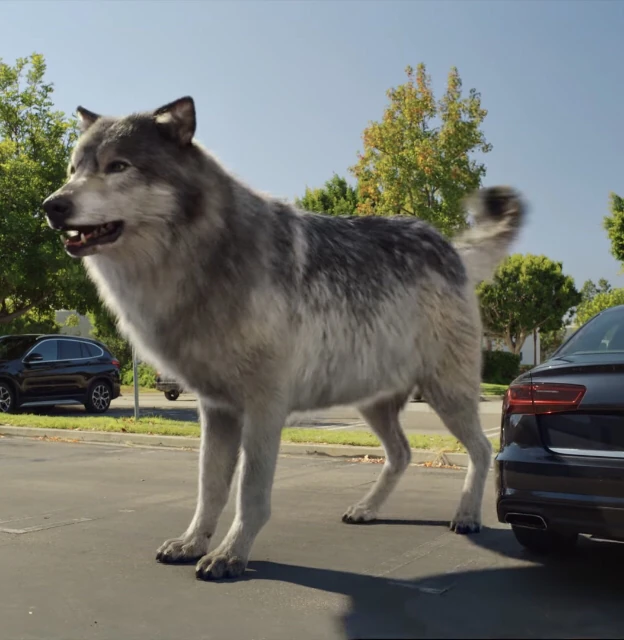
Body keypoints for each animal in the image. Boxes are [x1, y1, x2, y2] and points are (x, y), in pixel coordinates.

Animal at [42, 97, 526, 581]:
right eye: (73, 168)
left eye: (117, 166)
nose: (51, 206)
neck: (202, 259)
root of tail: (450, 248)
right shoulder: (216, 409)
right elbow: (209, 489)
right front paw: (191, 544)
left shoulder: (264, 409)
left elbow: (250, 494)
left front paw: (230, 555)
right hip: (374, 404)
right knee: (403, 453)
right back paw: (366, 509)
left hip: (447, 395)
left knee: (482, 449)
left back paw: (466, 516)